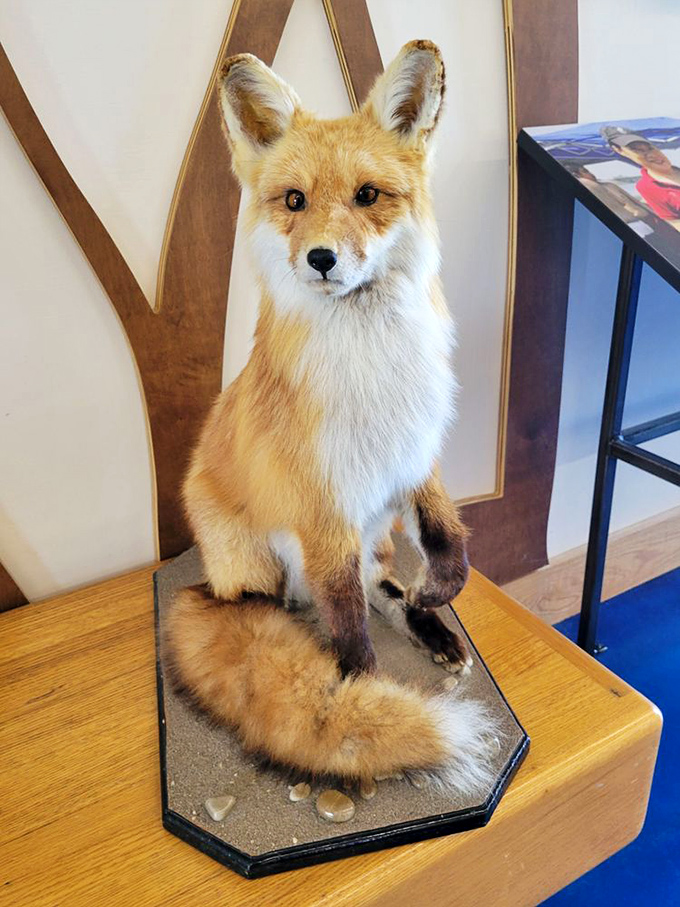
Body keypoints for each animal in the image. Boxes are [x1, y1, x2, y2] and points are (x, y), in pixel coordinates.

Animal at [165, 40, 496, 792]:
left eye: (367, 196)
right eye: (294, 201)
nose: (321, 258)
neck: (374, 368)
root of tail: (208, 587)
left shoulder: (415, 452)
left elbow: (448, 539)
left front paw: (438, 591)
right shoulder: (322, 504)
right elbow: (346, 620)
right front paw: (365, 702)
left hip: (370, 527)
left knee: (382, 582)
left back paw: (431, 627)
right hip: (270, 562)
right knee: (317, 602)